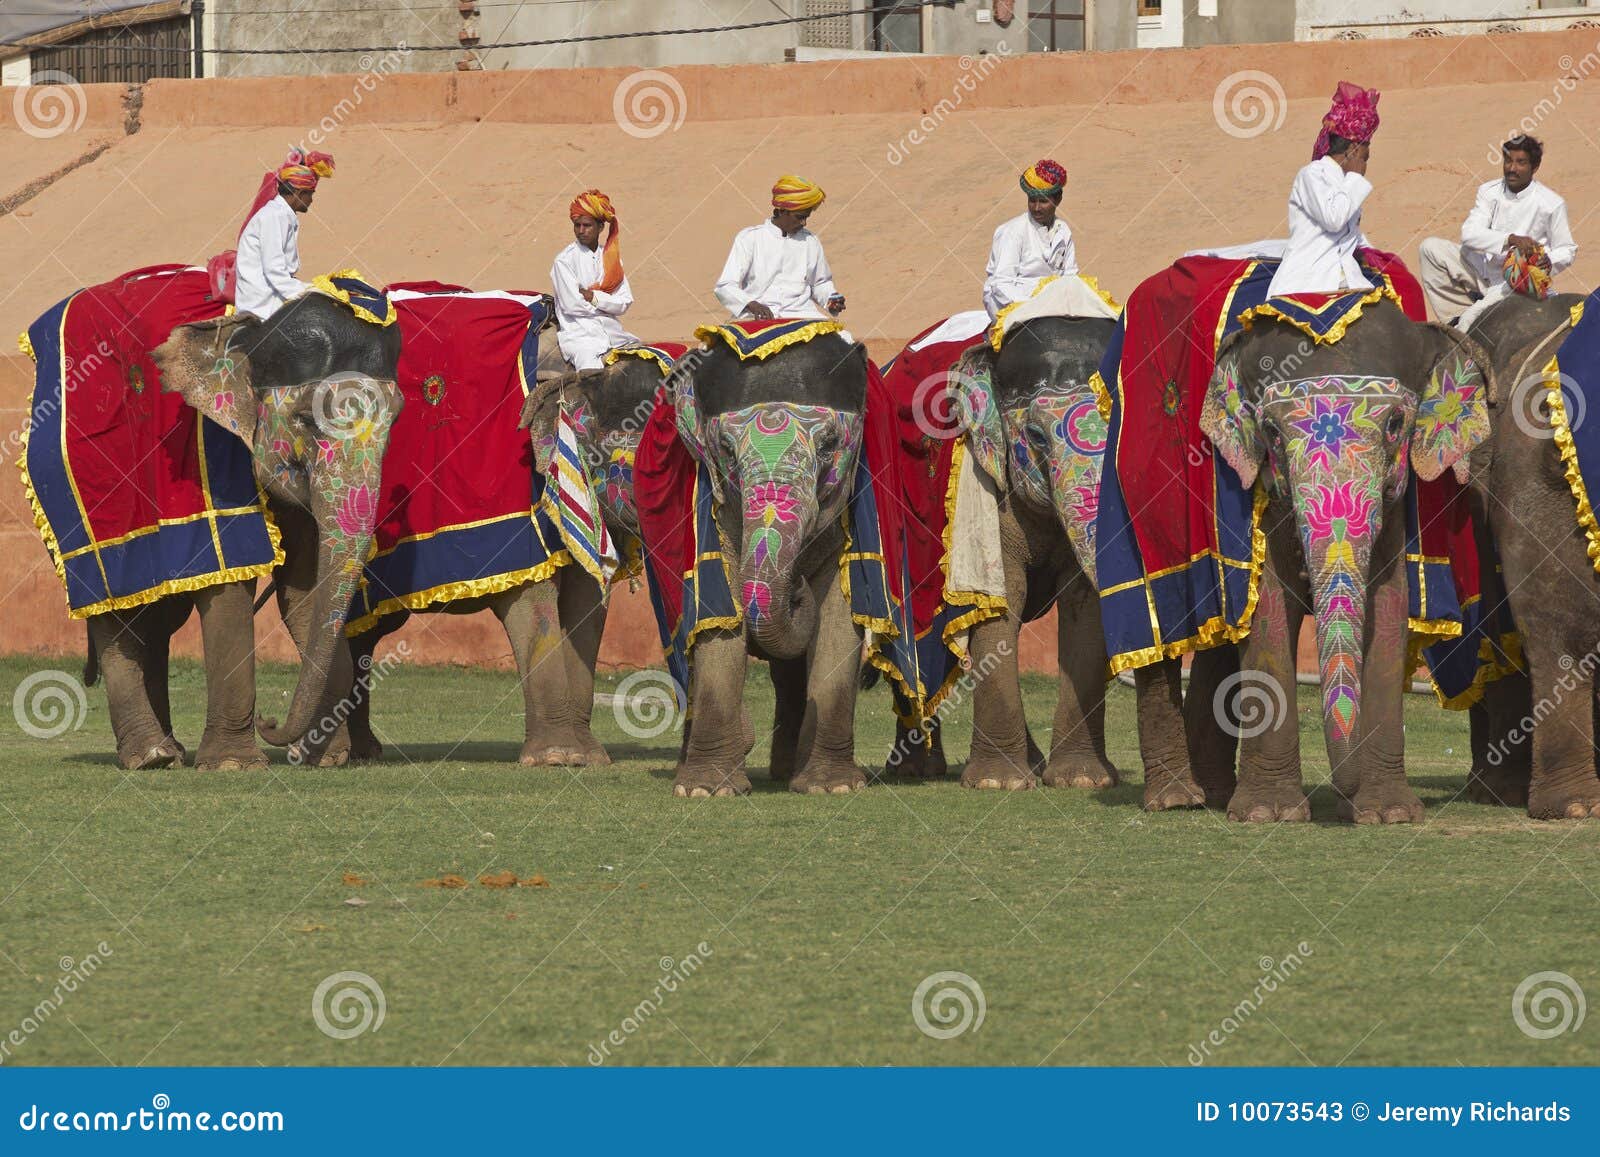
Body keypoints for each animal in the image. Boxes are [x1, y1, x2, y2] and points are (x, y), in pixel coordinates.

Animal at [152, 294, 404, 764]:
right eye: (306, 419)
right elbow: (230, 578)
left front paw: (326, 758)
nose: (267, 720)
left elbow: (302, 589)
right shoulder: (210, 462)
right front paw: (231, 766)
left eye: (394, 424)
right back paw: (153, 756)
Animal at [666, 333, 870, 797]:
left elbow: (839, 610)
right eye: (725, 450)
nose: (796, 587)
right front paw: (706, 790)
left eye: (829, 446)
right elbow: (719, 606)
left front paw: (831, 788)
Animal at [1198, 299, 1494, 823]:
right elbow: (1267, 611)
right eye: (1270, 432)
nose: (1344, 794)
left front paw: (1390, 815)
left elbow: (1390, 606)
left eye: (1395, 425)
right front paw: (1266, 815)